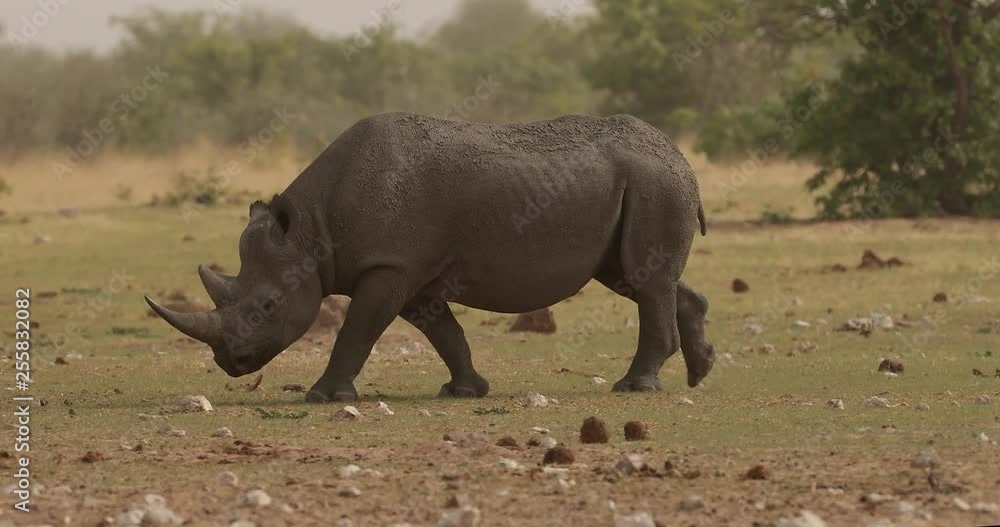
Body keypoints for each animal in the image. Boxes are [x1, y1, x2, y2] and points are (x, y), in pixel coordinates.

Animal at [146, 112, 715, 402]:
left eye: (266, 306)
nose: (230, 362)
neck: (310, 229)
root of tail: (680, 156)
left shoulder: (388, 265)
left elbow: (358, 331)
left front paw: (324, 397)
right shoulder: (410, 273)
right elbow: (444, 332)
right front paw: (465, 391)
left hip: (655, 183)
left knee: (645, 280)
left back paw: (635, 388)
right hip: (642, 186)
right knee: (637, 278)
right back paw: (698, 373)